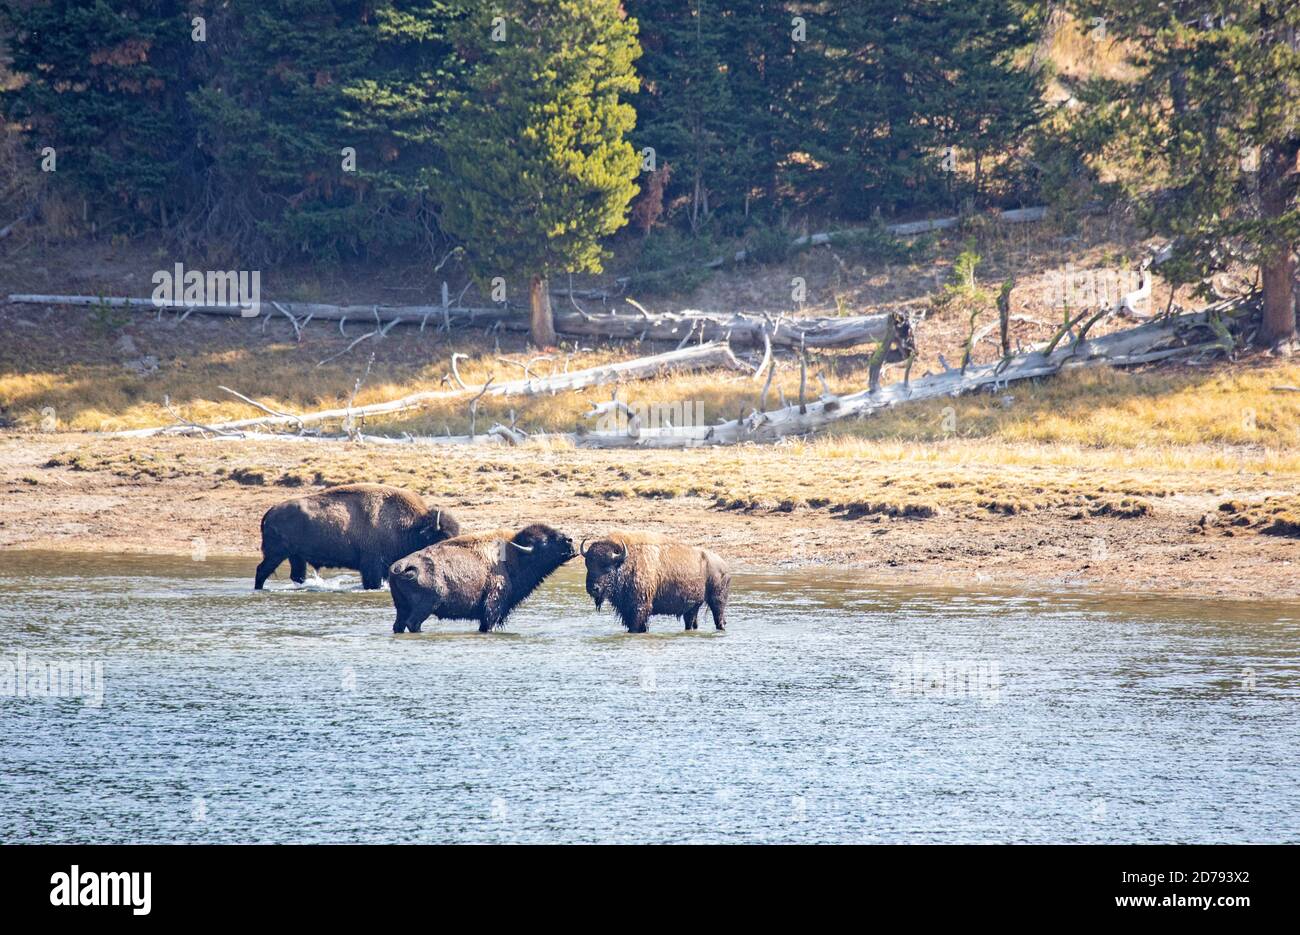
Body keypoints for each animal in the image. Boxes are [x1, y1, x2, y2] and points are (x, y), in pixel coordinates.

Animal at [254, 483, 460, 590]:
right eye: (440, 538)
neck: (412, 526)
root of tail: (271, 511)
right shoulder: (372, 566)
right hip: (276, 554)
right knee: (262, 570)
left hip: (296, 557)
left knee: (296, 575)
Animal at [388, 524, 576, 633]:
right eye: (545, 542)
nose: (570, 541)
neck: (514, 555)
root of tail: (399, 567)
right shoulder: (492, 609)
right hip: (424, 607)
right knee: (413, 624)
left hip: (401, 607)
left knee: (399, 625)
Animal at [582, 532, 729, 633]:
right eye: (588, 565)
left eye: (607, 567)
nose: (593, 588)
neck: (626, 561)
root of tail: (724, 565)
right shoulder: (626, 609)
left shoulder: (639, 608)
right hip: (693, 606)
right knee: (692, 622)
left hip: (717, 600)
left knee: (719, 619)